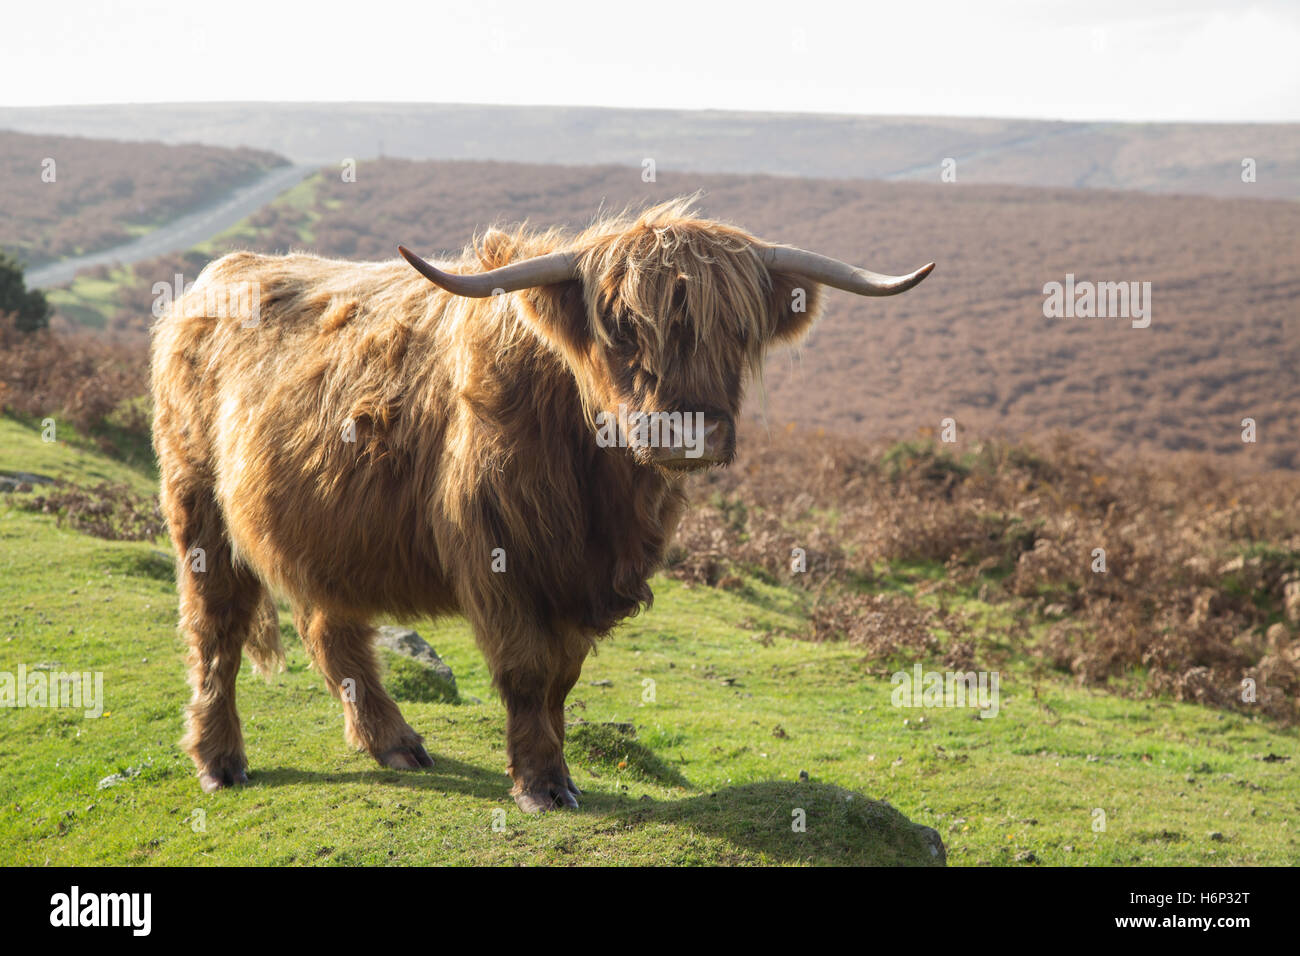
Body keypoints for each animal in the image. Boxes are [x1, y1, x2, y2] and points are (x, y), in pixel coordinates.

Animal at [150, 197, 932, 811]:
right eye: (622, 327)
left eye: (738, 331)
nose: (687, 432)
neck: (600, 493)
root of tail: (219, 276)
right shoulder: (500, 555)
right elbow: (527, 670)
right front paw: (540, 786)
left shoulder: (577, 578)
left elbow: (562, 678)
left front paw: (558, 771)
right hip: (197, 506)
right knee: (213, 630)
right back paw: (220, 761)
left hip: (325, 530)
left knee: (330, 628)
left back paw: (393, 742)